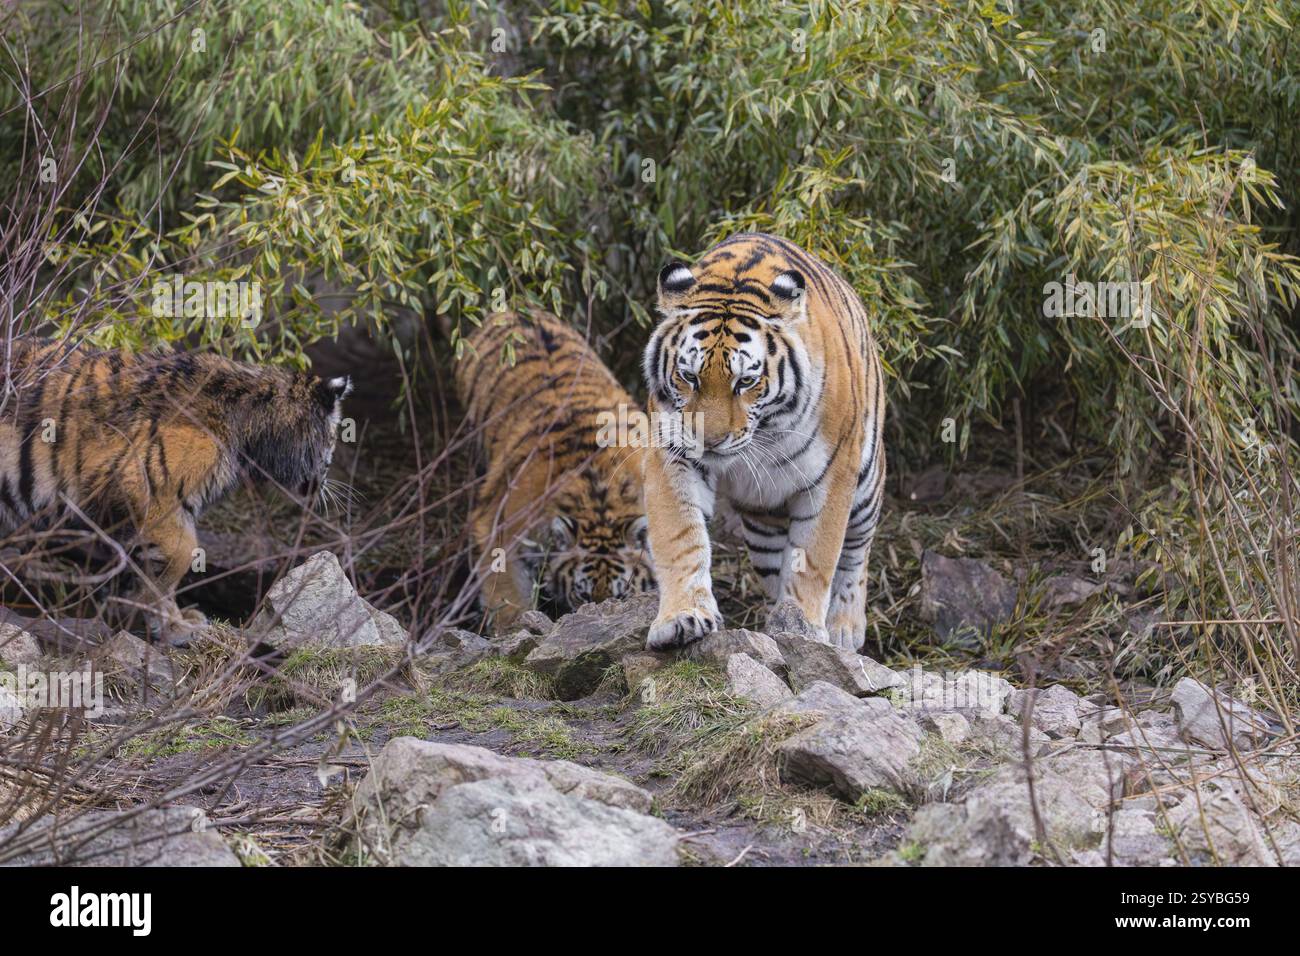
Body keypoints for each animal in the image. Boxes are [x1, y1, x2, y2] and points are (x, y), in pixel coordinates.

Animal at [0, 338, 352, 640]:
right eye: (334, 439)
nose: (326, 482)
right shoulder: (149, 490)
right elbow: (183, 554)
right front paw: (171, 623)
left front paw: (168, 619)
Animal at [454, 310, 655, 628]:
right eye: (582, 596)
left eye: (621, 596)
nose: (598, 618)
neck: (599, 496)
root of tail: (517, 309)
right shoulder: (495, 527)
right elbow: (506, 593)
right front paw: (514, 626)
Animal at [640, 232, 886, 652]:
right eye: (689, 376)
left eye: (746, 381)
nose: (710, 441)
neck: (765, 433)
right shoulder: (671, 454)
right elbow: (680, 536)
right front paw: (683, 617)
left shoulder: (834, 475)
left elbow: (815, 556)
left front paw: (804, 627)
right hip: (763, 522)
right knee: (774, 563)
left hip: (867, 482)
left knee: (857, 551)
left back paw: (844, 627)